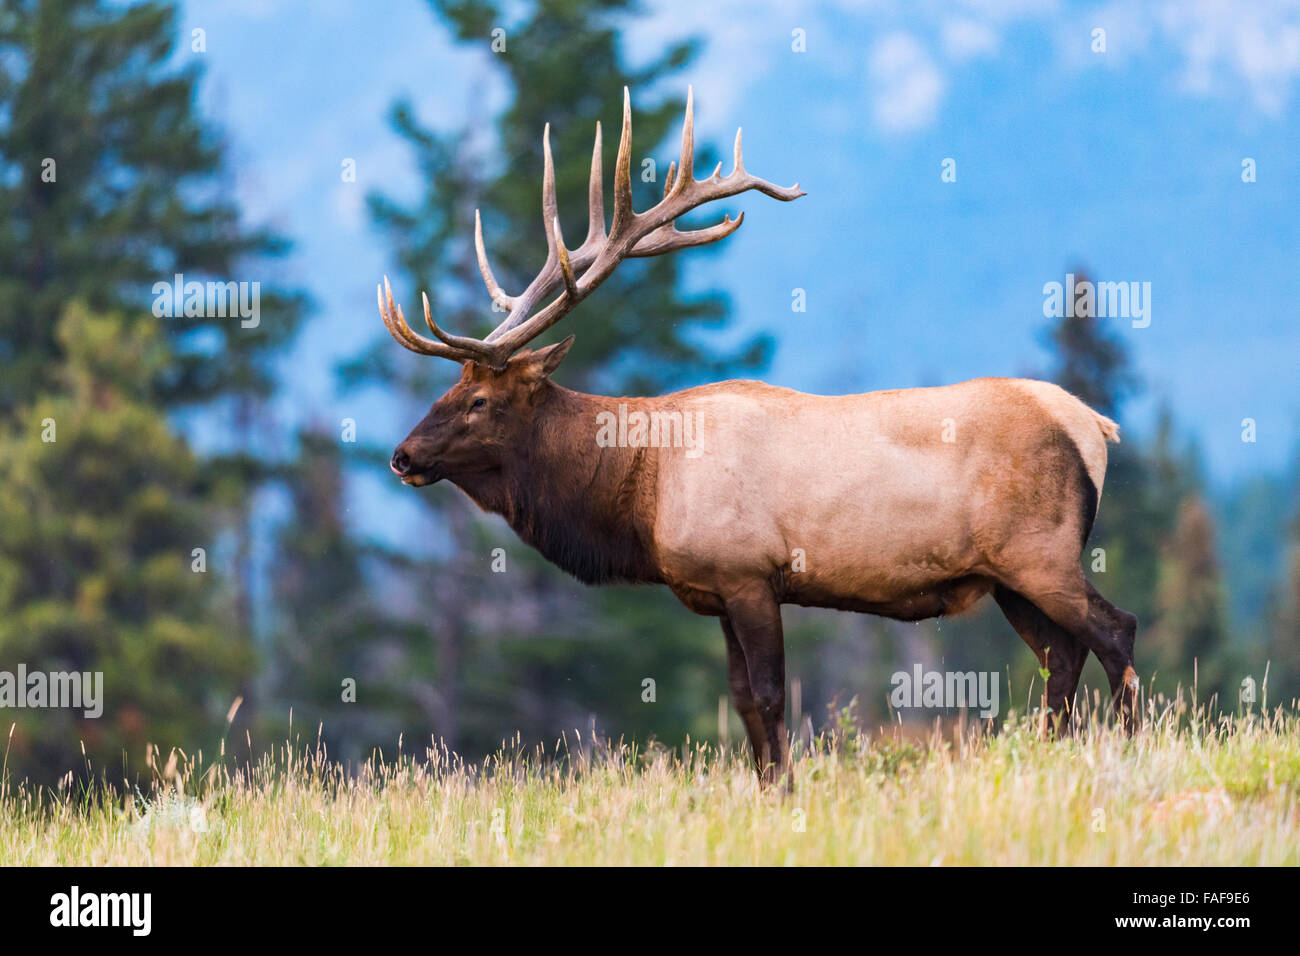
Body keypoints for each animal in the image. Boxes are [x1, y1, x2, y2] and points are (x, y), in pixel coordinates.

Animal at [378, 88, 1140, 788]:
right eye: (447, 391)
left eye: (479, 400)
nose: (402, 455)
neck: (642, 488)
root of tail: (1094, 425)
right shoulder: (715, 589)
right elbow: (744, 703)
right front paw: (769, 787)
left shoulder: (748, 572)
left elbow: (771, 698)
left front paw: (789, 790)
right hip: (1008, 575)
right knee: (1062, 656)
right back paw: (1054, 753)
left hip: (1040, 552)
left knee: (1115, 631)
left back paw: (1132, 747)